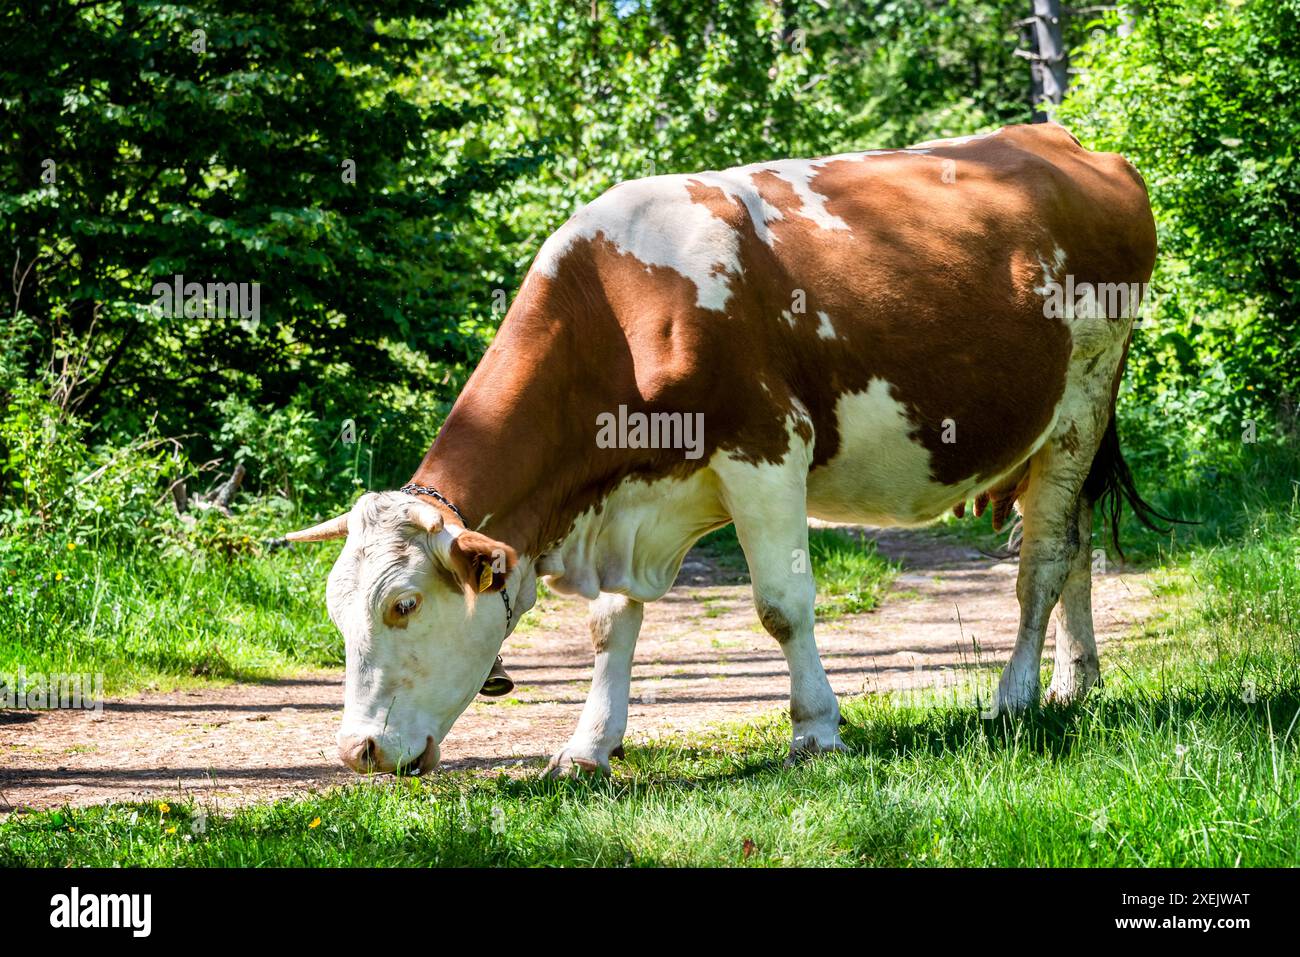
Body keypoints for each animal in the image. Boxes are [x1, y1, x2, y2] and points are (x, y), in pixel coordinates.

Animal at [287, 122, 1164, 777]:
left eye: (402, 604)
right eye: (334, 609)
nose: (357, 750)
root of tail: (1063, 140)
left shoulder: (766, 452)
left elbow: (782, 605)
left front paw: (817, 732)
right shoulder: (628, 496)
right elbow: (611, 623)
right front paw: (588, 746)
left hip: (1084, 396)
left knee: (1044, 558)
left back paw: (1014, 696)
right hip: (1061, 430)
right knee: (1076, 539)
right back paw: (1075, 680)